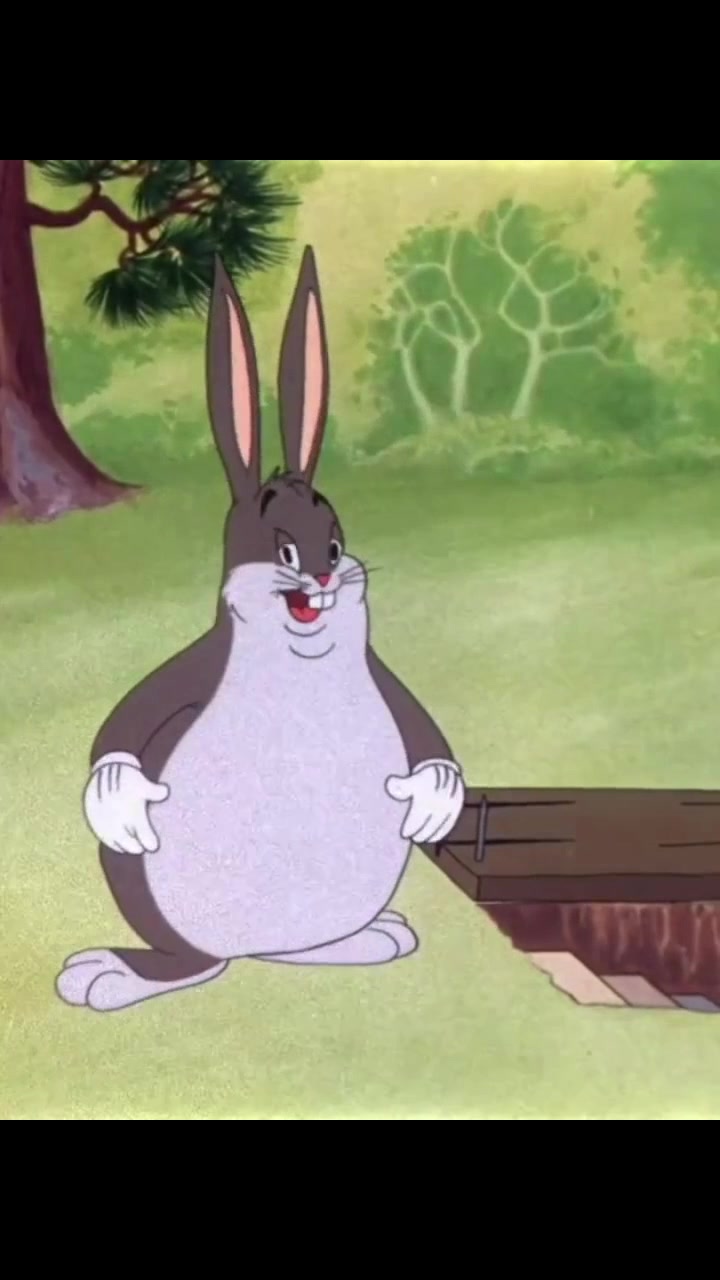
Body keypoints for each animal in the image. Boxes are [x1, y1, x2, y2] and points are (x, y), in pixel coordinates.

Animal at [56, 246, 465, 1013]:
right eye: (286, 552)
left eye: (334, 546)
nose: (325, 582)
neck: (299, 657)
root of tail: (250, 953)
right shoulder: (191, 673)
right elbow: (125, 725)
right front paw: (119, 804)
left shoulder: (383, 677)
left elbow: (425, 734)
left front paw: (434, 802)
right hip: (179, 923)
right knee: (190, 959)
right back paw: (116, 974)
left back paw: (365, 940)